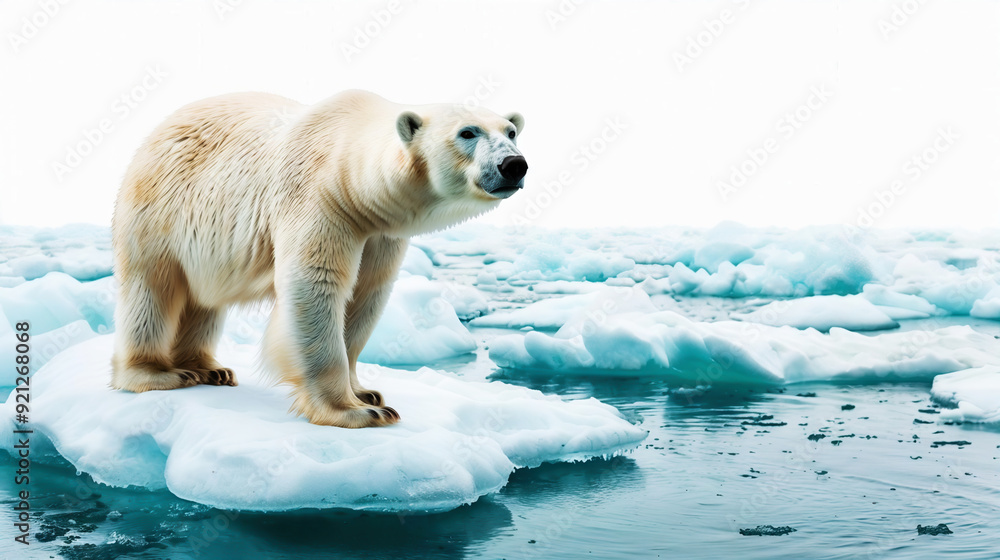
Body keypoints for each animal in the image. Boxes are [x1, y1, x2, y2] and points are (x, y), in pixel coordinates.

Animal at [110, 89, 527, 428]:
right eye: (468, 132)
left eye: (510, 131)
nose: (514, 165)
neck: (352, 177)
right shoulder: (321, 200)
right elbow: (316, 284)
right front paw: (357, 411)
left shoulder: (380, 233)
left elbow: (366, 293)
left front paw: (366, 391)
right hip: (160, 209)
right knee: (153, 288)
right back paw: (160, 374)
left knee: (203, 301)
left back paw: (209, 369)